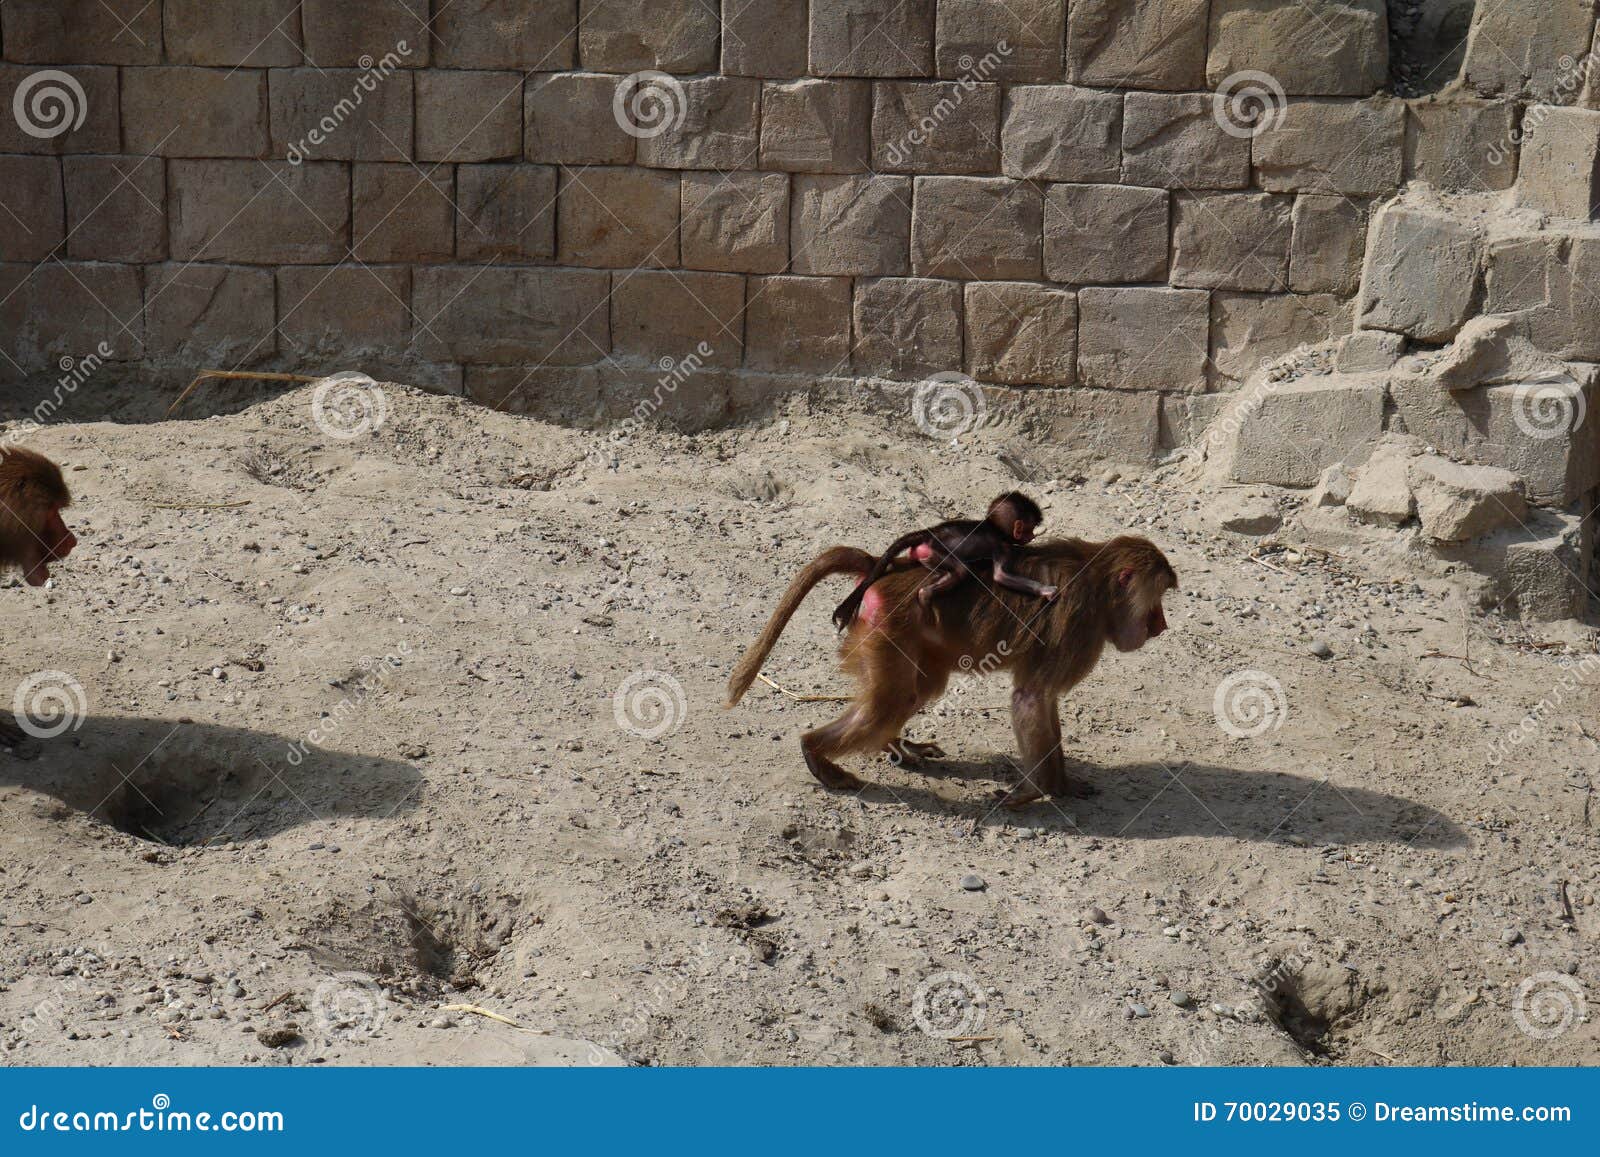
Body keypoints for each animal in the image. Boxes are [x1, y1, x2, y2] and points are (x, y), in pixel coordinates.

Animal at [729, 535, 1176, 807]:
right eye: (1158, 600)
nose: (1162, 626)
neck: (1098, 584)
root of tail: (887, 569)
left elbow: (1041, 702)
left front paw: (1062, 785)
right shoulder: (1078, 630)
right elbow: (1031, 699)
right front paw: (1034, 794)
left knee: (913, 694)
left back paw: (897, 747)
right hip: (887, 626)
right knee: (888, 705)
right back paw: (815, 752)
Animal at [831, 491, 1055, 631]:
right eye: (1029, 529)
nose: (1032, 536)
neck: (995, 527)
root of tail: (929, 533)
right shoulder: (1003, 546)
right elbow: (1001, 576)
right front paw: (1046, 590)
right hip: (936, 553)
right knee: (960, 570)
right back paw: (925, 597)